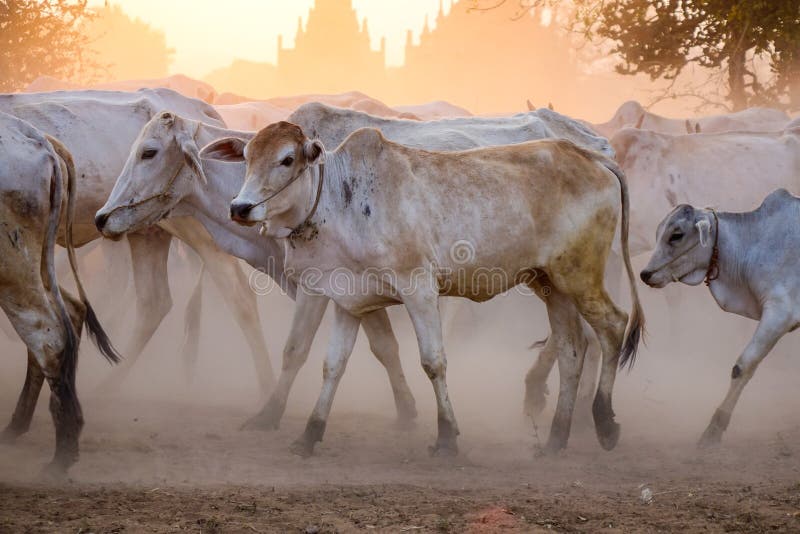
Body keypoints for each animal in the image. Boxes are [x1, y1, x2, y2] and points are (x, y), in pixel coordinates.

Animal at [0, 90, 276, 394]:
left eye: (149, 153)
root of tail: (199, 110)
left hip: (201, 235)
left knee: (240, 299)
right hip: (147, 233)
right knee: (153, 301)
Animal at [0, 112, 120, 472]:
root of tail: (39, 139)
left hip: (13, 268)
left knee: (47, 335)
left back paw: (63, 452)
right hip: (36, 264)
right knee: (70, 312)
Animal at [212, 121, 644, 457]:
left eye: (287, 159)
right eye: (247, 156)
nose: (240, 207)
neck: (341, 201)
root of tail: (590, 156)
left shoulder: (418, 289)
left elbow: (433, 362)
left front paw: (447, 436)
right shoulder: (349, 300)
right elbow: (332, 365)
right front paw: (309, 434)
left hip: (580, 276)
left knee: (612, 325)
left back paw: (604, 421)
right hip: (551, 284)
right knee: (572, 350)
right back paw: (556, 438)